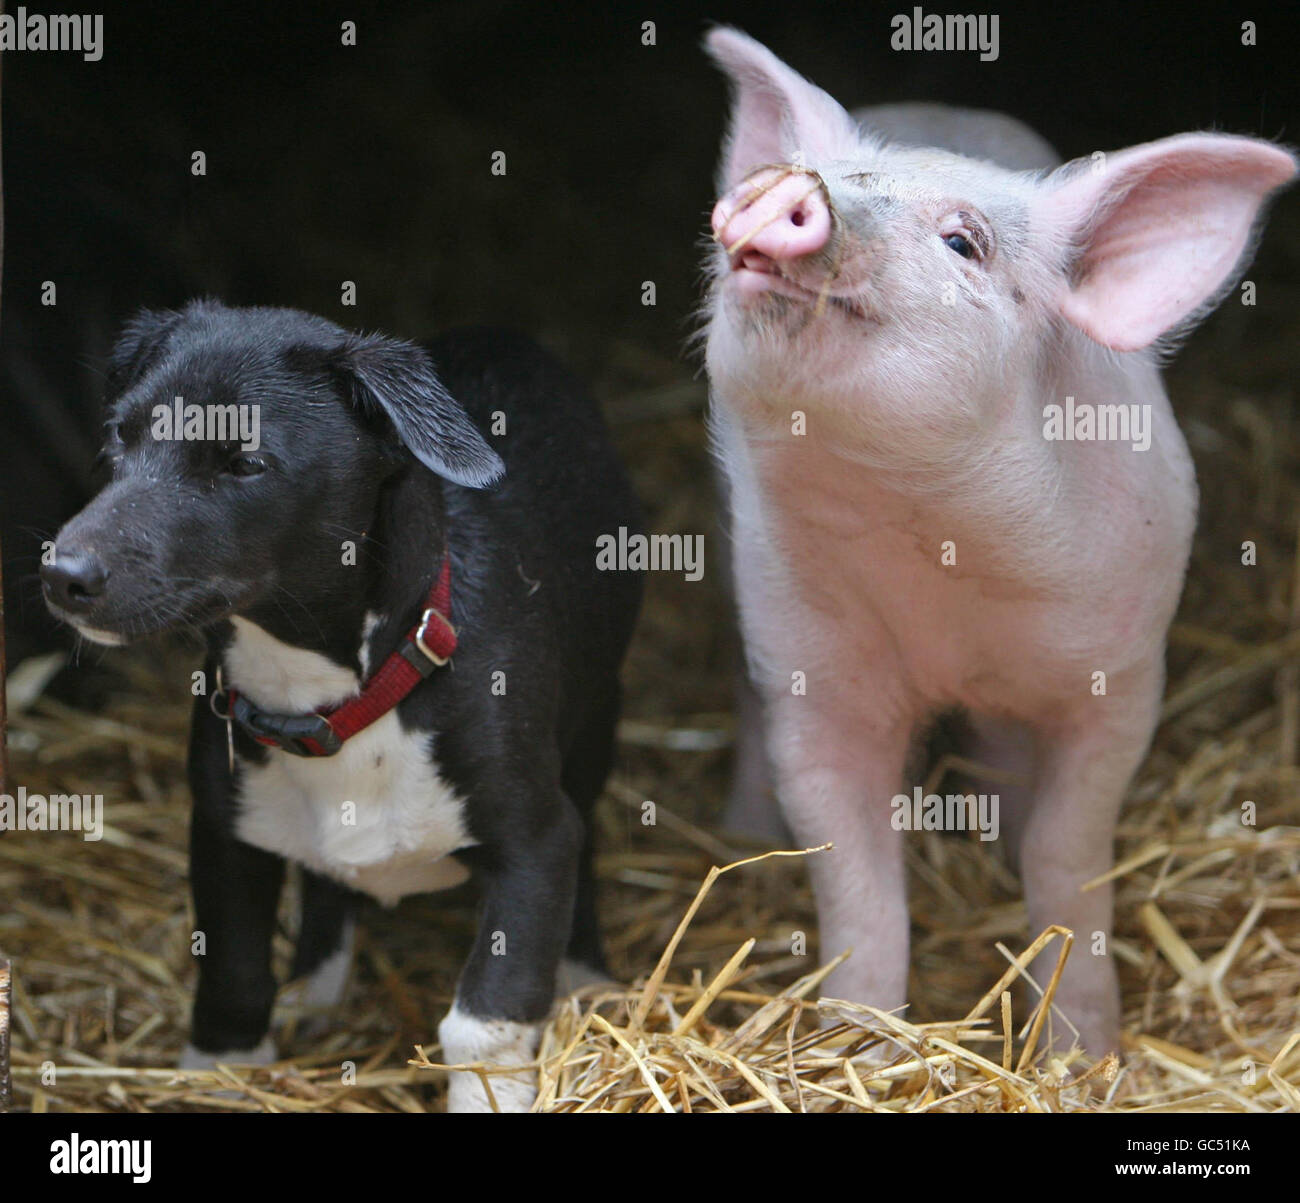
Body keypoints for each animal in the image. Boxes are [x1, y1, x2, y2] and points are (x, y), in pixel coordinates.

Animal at [703, 27, 1296, 1056]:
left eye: (963, 242)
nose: (785, 186)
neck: (931, 544)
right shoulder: (815, 684)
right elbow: (855, 877)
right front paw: (862, 1046)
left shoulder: (1123, 678)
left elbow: (1068, 848)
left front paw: (1087, 1054)